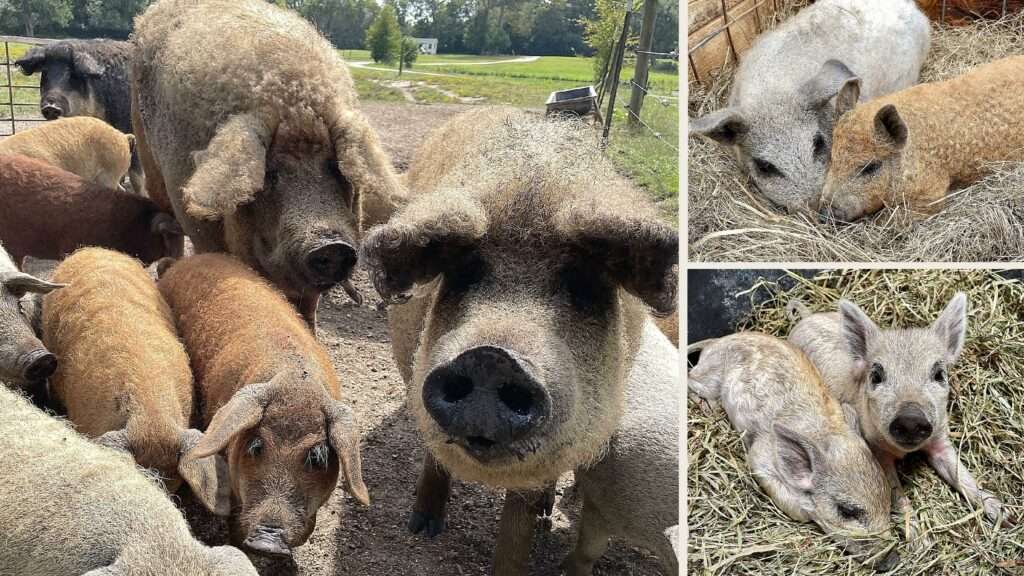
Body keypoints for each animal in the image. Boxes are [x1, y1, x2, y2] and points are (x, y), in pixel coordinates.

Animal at [362, 107, 678, 574]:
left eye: (583, 287)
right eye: (465, 274)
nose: (491, 357)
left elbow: (518, 523)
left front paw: (534, 524)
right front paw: (422, 529)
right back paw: (423, 526)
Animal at [688, 333, 897, 570]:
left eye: (887, 501)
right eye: (847, 511)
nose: (893, 561)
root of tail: (716, 342)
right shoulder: (759, 456)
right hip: (708, 379)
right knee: (690, 378)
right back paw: (710, 408)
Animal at [788, 295, 1017, 534]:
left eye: (939, 374)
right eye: (876, 376)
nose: (910, 418)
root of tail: (807, 316)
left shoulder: (940, 438)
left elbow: (961, 474)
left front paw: (1008, 517)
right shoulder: (876, 450)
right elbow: (897, 493)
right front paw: (918, 537)